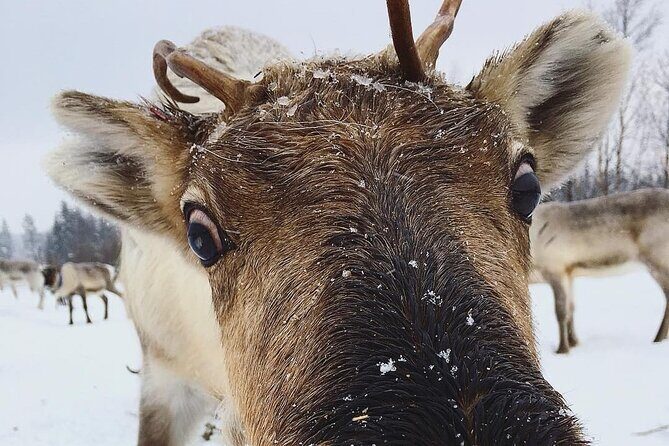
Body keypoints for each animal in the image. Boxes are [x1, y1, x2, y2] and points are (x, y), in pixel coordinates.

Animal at [530, 188, 669, 354]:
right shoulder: (569, 272)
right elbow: (571, 309)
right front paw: (574, 342)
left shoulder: (555, 268)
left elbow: (561, 312)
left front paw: (562, 349)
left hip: (657, 259)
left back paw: (657, 339)